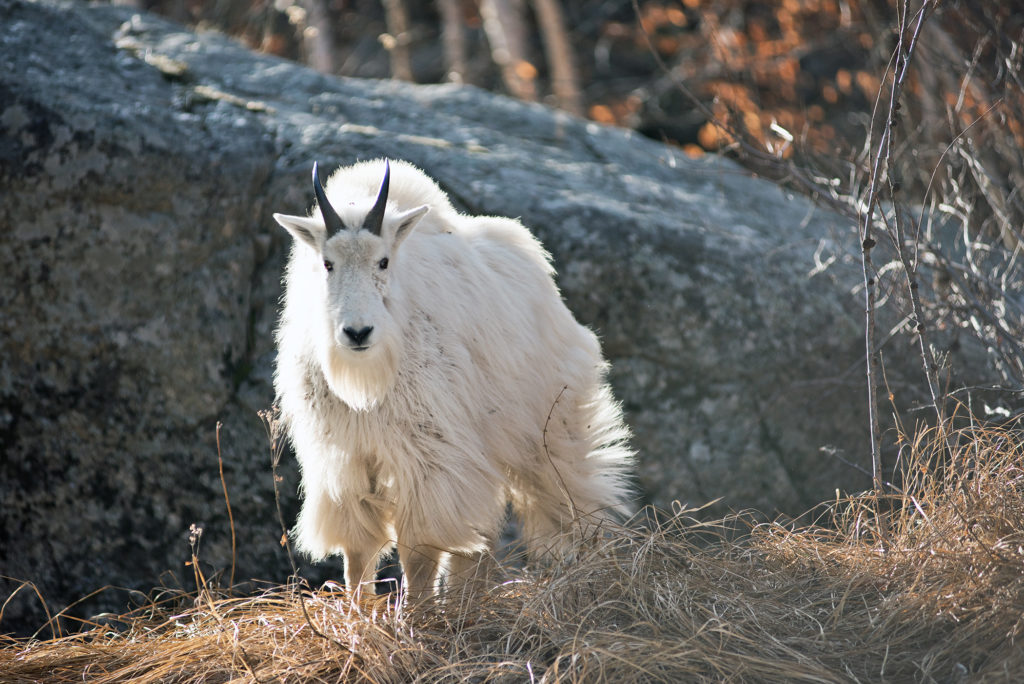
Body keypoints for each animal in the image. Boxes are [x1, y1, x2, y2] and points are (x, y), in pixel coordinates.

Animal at [273, 158, 633, 600]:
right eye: (327, 263)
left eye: (383, 261)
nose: (357, 333)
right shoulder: (347, 458)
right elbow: (358, 552)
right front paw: (359, 610)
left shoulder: (430, 453)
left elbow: (420, 551)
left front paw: (418, 611)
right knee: (482, 537)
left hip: (553, 430)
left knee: (575, 500)